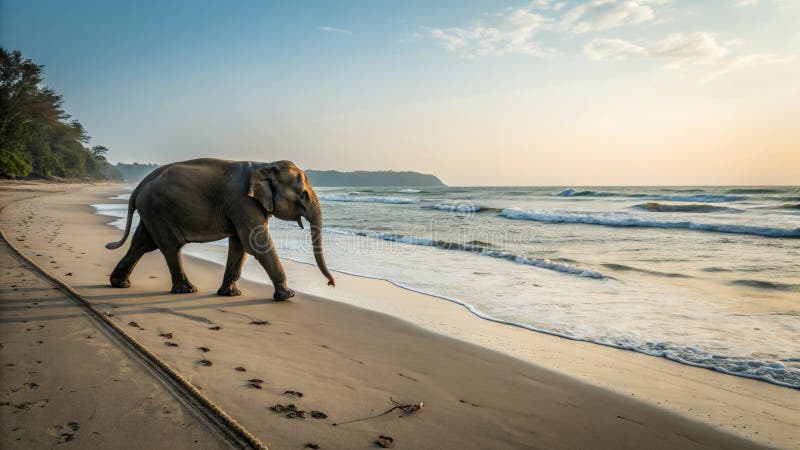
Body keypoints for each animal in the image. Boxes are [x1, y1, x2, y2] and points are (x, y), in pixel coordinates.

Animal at [105, 158, 335, 301]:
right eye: (303, 195)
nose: (331, 284)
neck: (264, 165)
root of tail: (138, 186)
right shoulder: (242, 201)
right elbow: (256, 244)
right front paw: (288, 295)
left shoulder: (243, 206)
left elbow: (240, 246)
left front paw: (231, 294)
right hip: (158, 210)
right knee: (170, 246)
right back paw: (187, 290)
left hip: (152, 211)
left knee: (142, 242)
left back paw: (120, 283)